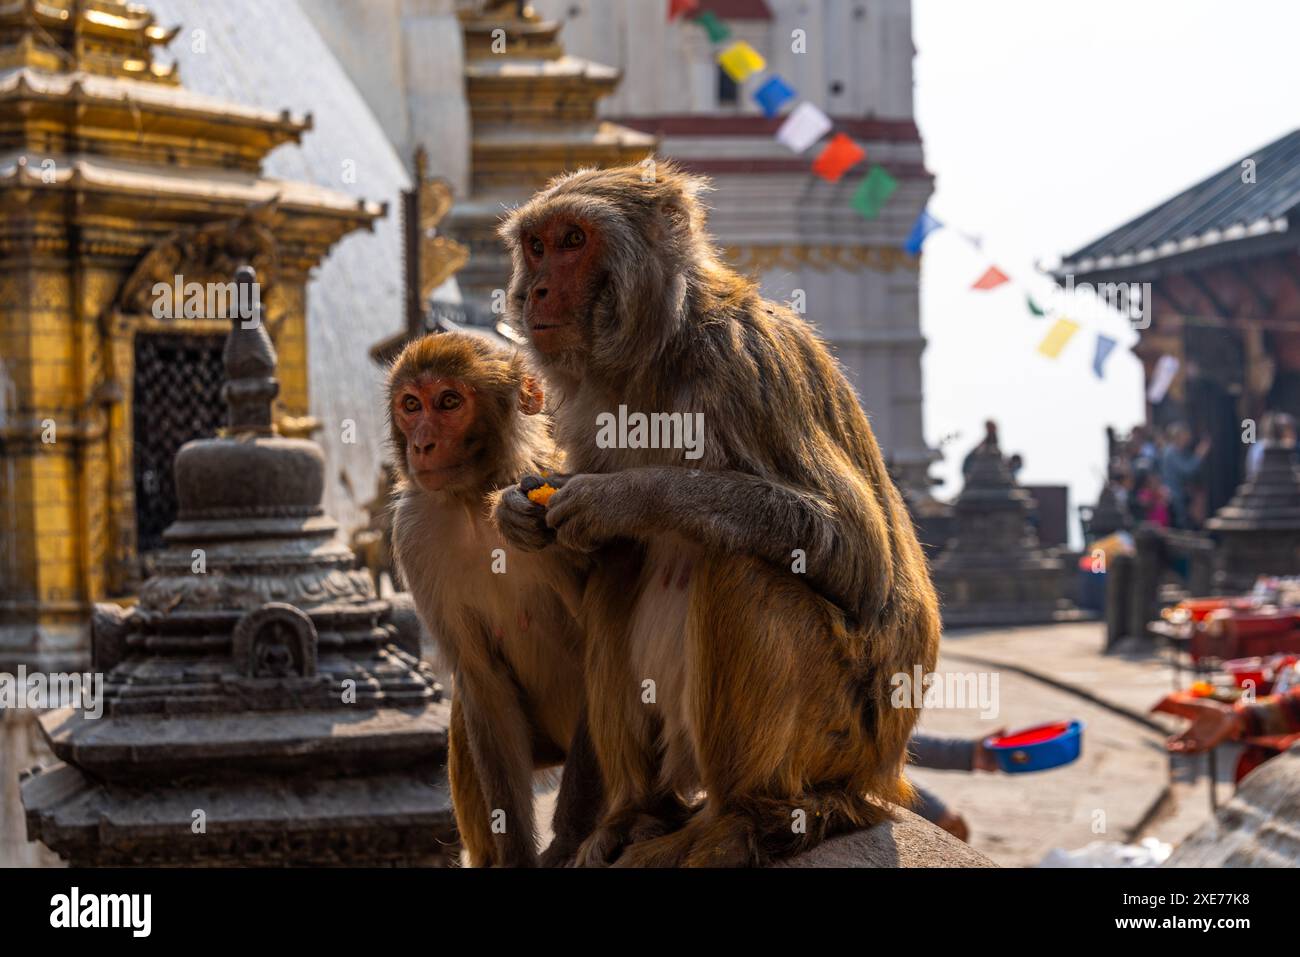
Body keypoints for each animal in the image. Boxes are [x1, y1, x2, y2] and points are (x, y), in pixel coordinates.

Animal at [387, 331, 602, 867]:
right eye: (410, 405)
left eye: (448, 402)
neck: (472, 502)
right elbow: (479, 678)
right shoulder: (412, 533)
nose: (421, 444)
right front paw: (516, 855)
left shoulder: (564, 510)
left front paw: (566, 840)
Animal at [492, 161, 942, 867]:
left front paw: (623, 498)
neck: (654, 355)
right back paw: (636, 814)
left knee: (743, 568)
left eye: (572, 241)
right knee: (621, 564)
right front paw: (519, 510)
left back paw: (742, 820)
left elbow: (855, 552)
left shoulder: (743, 366)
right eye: (536, 246)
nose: (534, 289)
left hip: (841, 737)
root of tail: (882, 774)